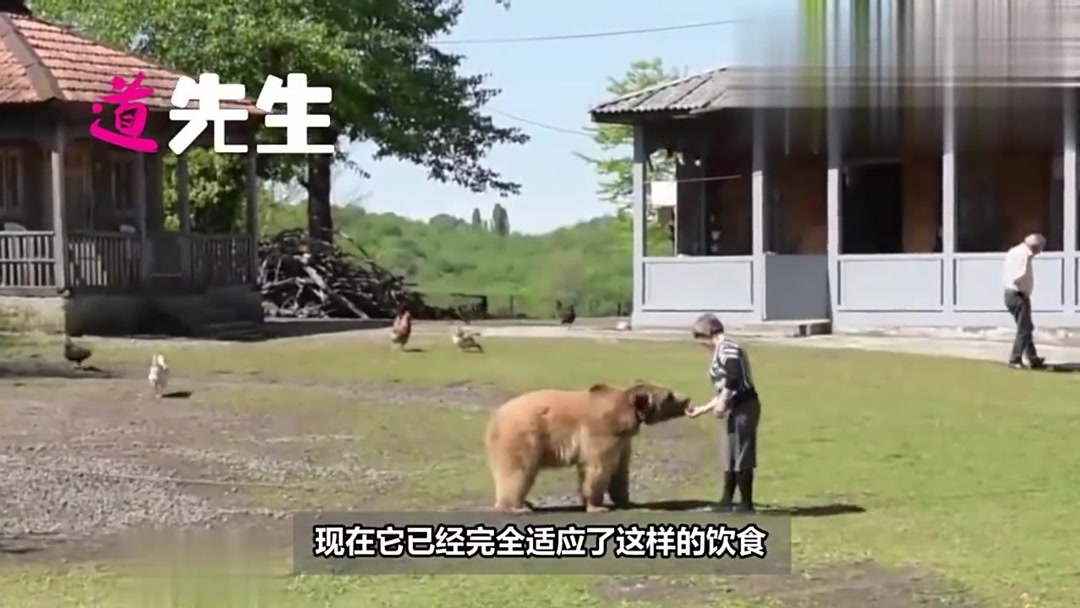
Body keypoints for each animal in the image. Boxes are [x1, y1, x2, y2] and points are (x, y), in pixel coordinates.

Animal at [484, 383, 691, 513]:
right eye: (670, 395)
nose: (687, 398)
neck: (624, 415)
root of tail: (495, 417)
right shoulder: (601, 432)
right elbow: (597, 469)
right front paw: (597, 506)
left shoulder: (622, 441)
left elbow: (620, 470)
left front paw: (626, 500)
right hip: (522, 436)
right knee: (518, 470)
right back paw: (516, 507)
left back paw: (526, 504)